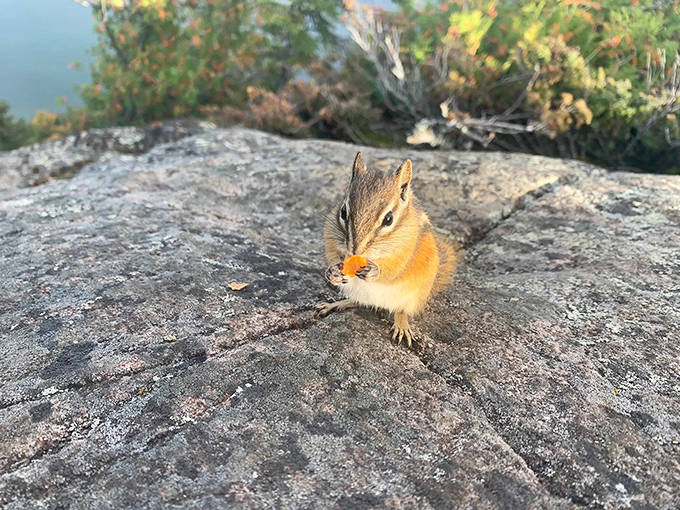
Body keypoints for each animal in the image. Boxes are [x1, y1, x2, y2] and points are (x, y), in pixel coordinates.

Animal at [316, 152, 458, 347]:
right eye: (343, 211)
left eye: (389, 219)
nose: (355, 251)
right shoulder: (330, 236)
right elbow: (332, 257)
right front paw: (332, 272)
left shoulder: (405, 252)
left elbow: (393, 270)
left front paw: (374, 271)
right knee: (358, 302)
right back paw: (335, 305)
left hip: (410, 297)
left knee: (400, 311)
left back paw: (402, 327)